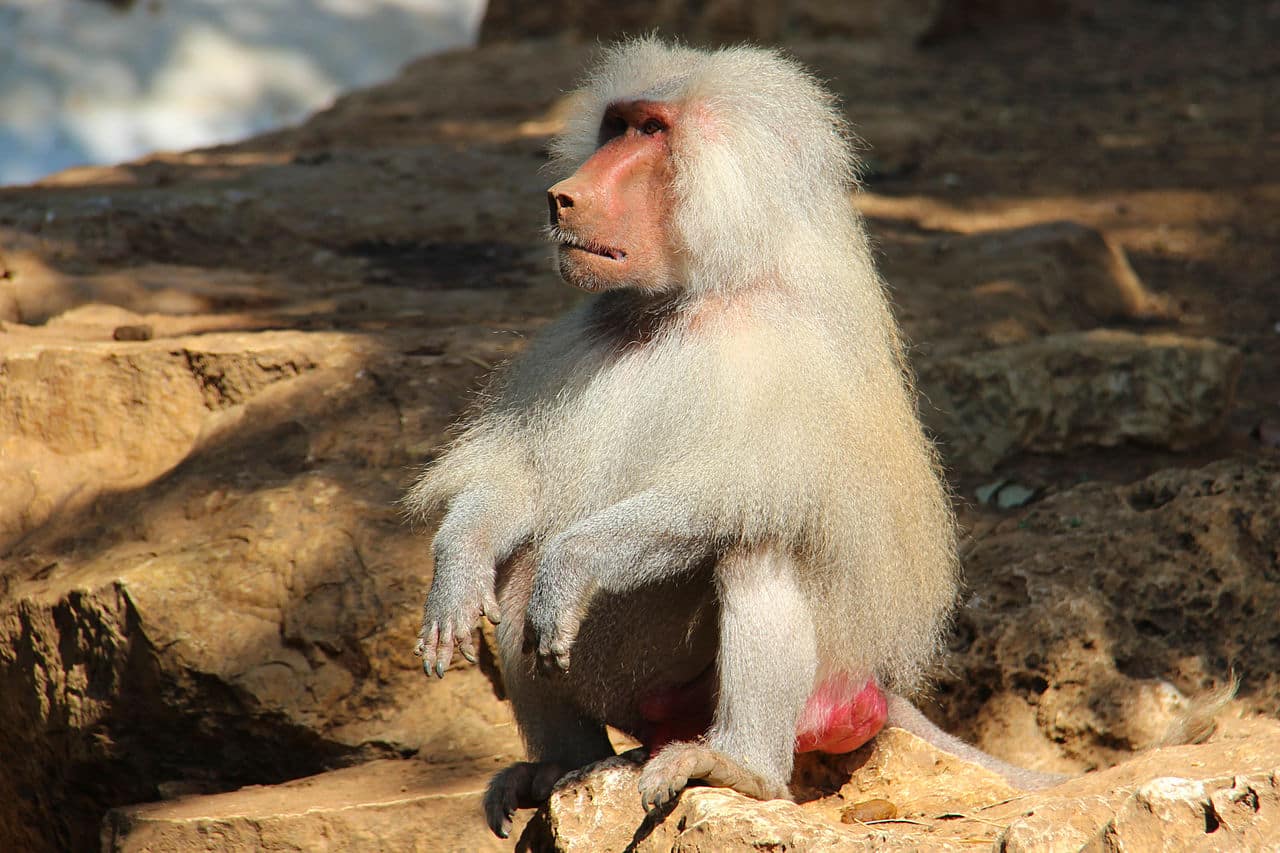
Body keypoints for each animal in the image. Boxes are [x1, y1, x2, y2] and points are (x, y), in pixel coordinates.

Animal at [406, 38, 1065, 840]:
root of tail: (869, 686)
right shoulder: (581, 340)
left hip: (802, 690)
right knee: (521, 570)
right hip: (642, 703)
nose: (563, 196)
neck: (689, 299)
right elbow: (519, 485)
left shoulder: (776, 344)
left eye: (652, 131)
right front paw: (455, 572)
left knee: (758, 543)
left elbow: (729, 495)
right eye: (615, 125)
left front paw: (577, 560)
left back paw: (736, 766)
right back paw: (560, 767)